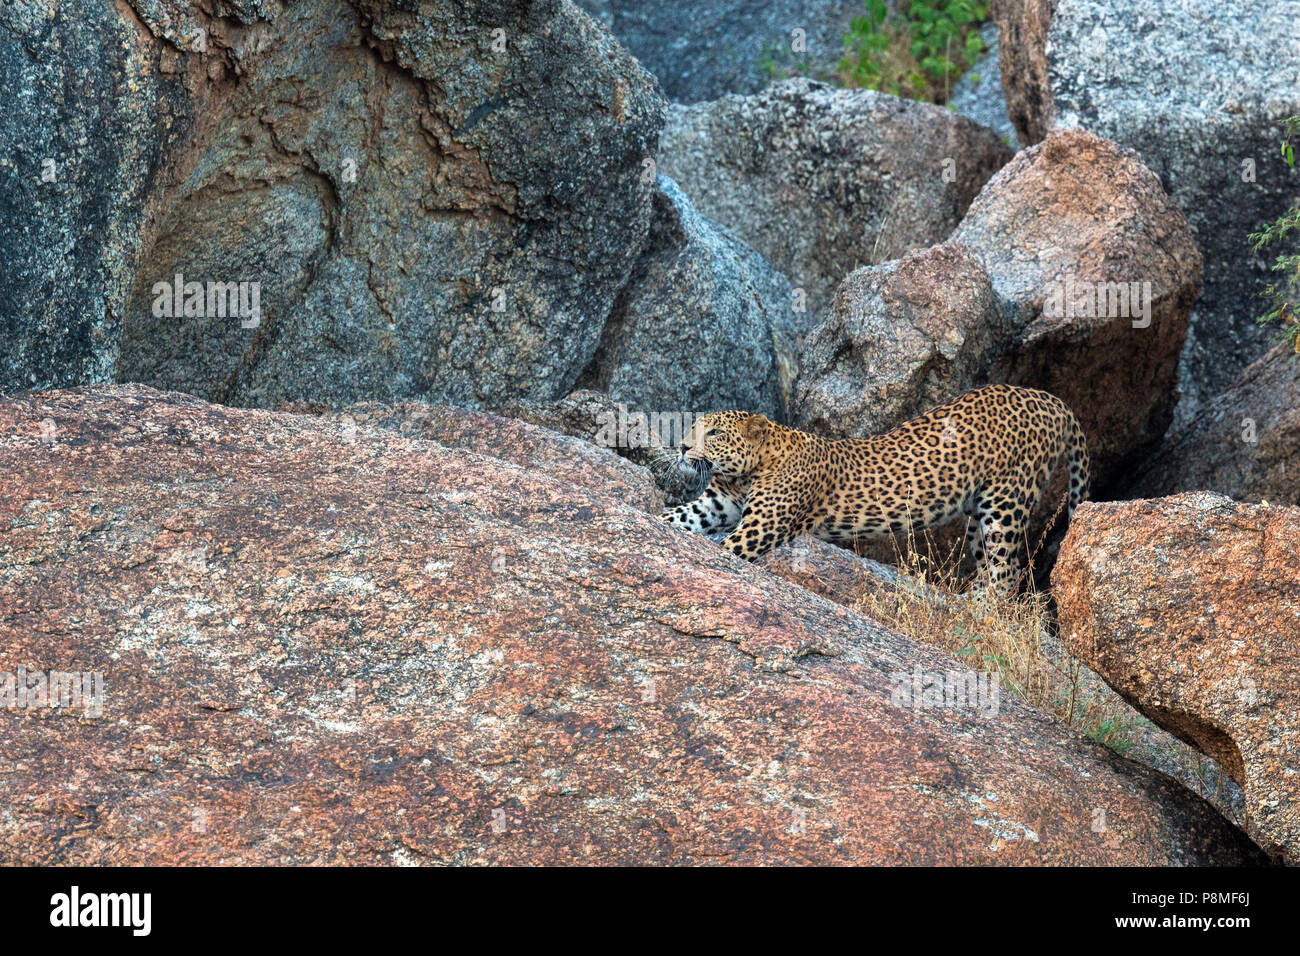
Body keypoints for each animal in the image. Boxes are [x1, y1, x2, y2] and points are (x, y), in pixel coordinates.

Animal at [660, 384, 1090, 593]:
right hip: (977, 517)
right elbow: (676, 518)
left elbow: (725, 549)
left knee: (1008, 570)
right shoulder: (716, 505)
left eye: (714, 432)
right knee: (989, 564)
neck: (746, 472)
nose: (681, 446)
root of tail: (1050, 399)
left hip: (1005, 503)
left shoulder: (758, 529)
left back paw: (981, 614)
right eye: (693, 427)